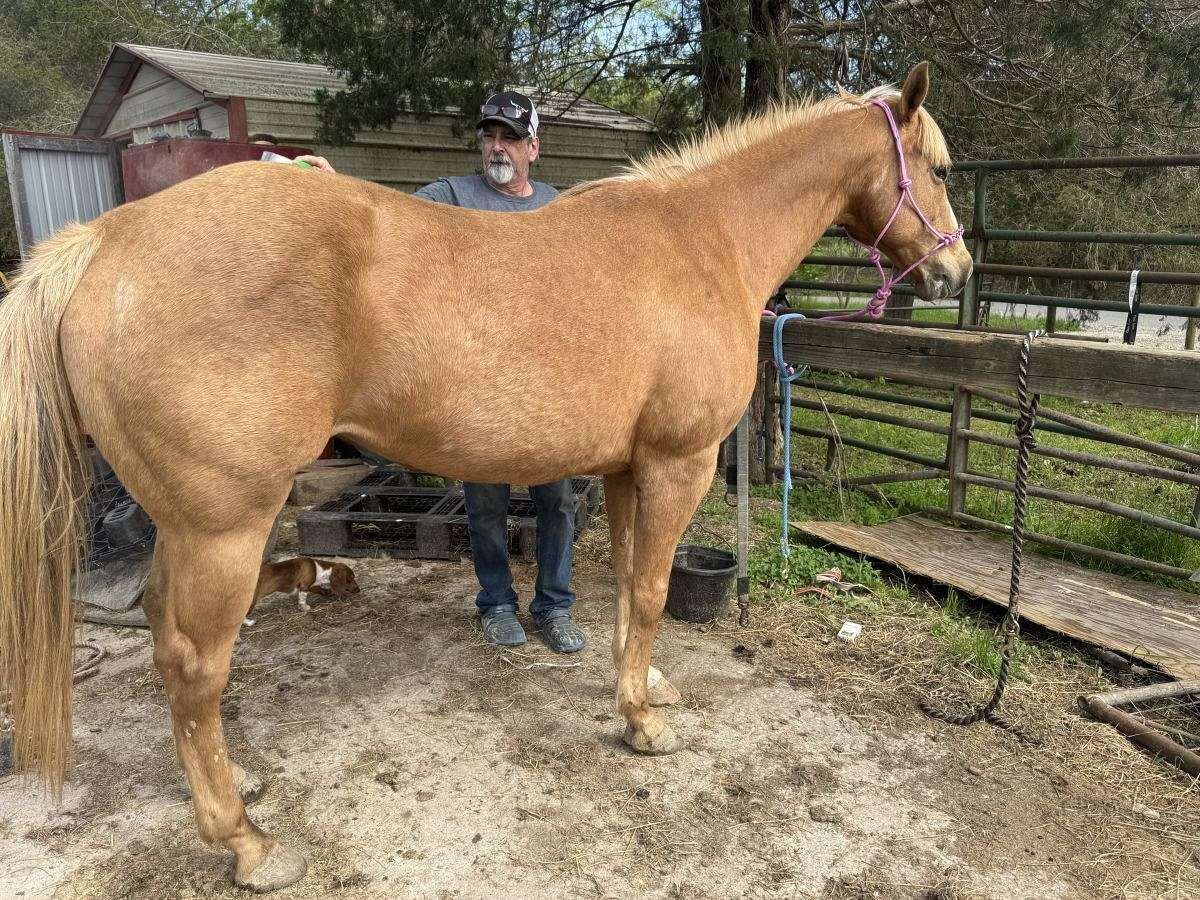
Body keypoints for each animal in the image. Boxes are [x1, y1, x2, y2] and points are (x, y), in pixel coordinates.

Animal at [0, 62, 971, 891]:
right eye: (937, 166)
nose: (958, 270)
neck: (702, 241)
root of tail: (106, 240)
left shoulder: (627, 470)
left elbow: (629, 586)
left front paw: (642, 685)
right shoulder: (678, 463)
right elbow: (654, 590)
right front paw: (643, 724)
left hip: (187, 523)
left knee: (169, 639)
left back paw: (235, 787)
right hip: (225, 526)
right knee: (195, 666)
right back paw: (247, 844)